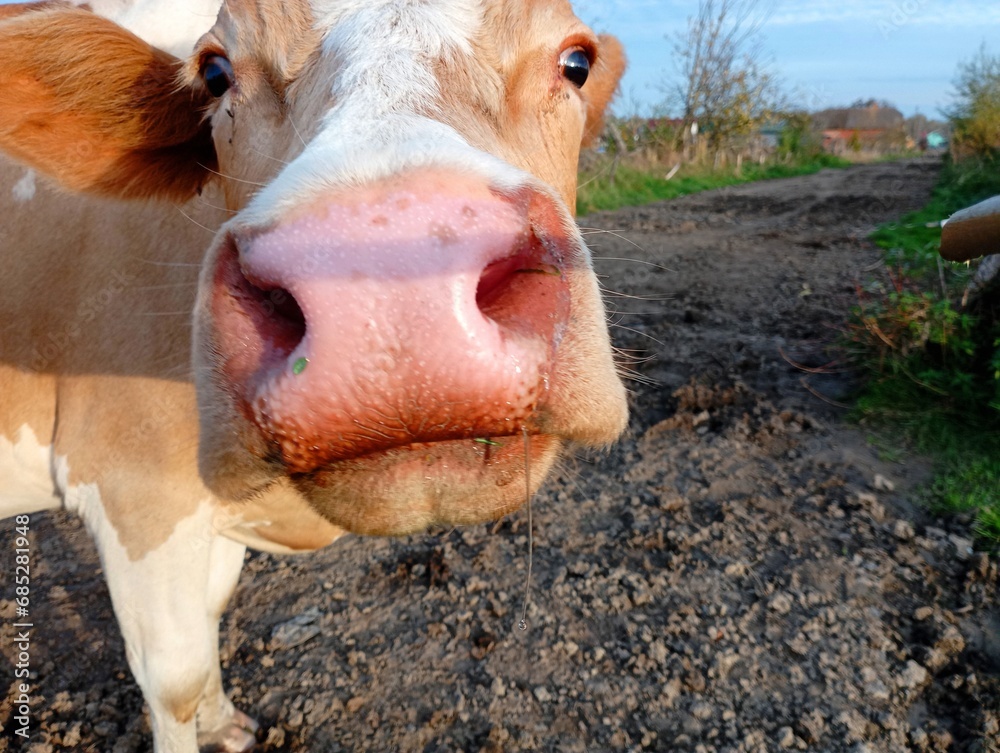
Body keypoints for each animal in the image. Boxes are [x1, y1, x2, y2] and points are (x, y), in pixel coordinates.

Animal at [0, 1, 628, 751]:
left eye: (577, 62)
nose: (385, 281)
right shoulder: (133, 484)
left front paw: (224, 721)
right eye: (216, 73)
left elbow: (212, 609)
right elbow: (173, 678)